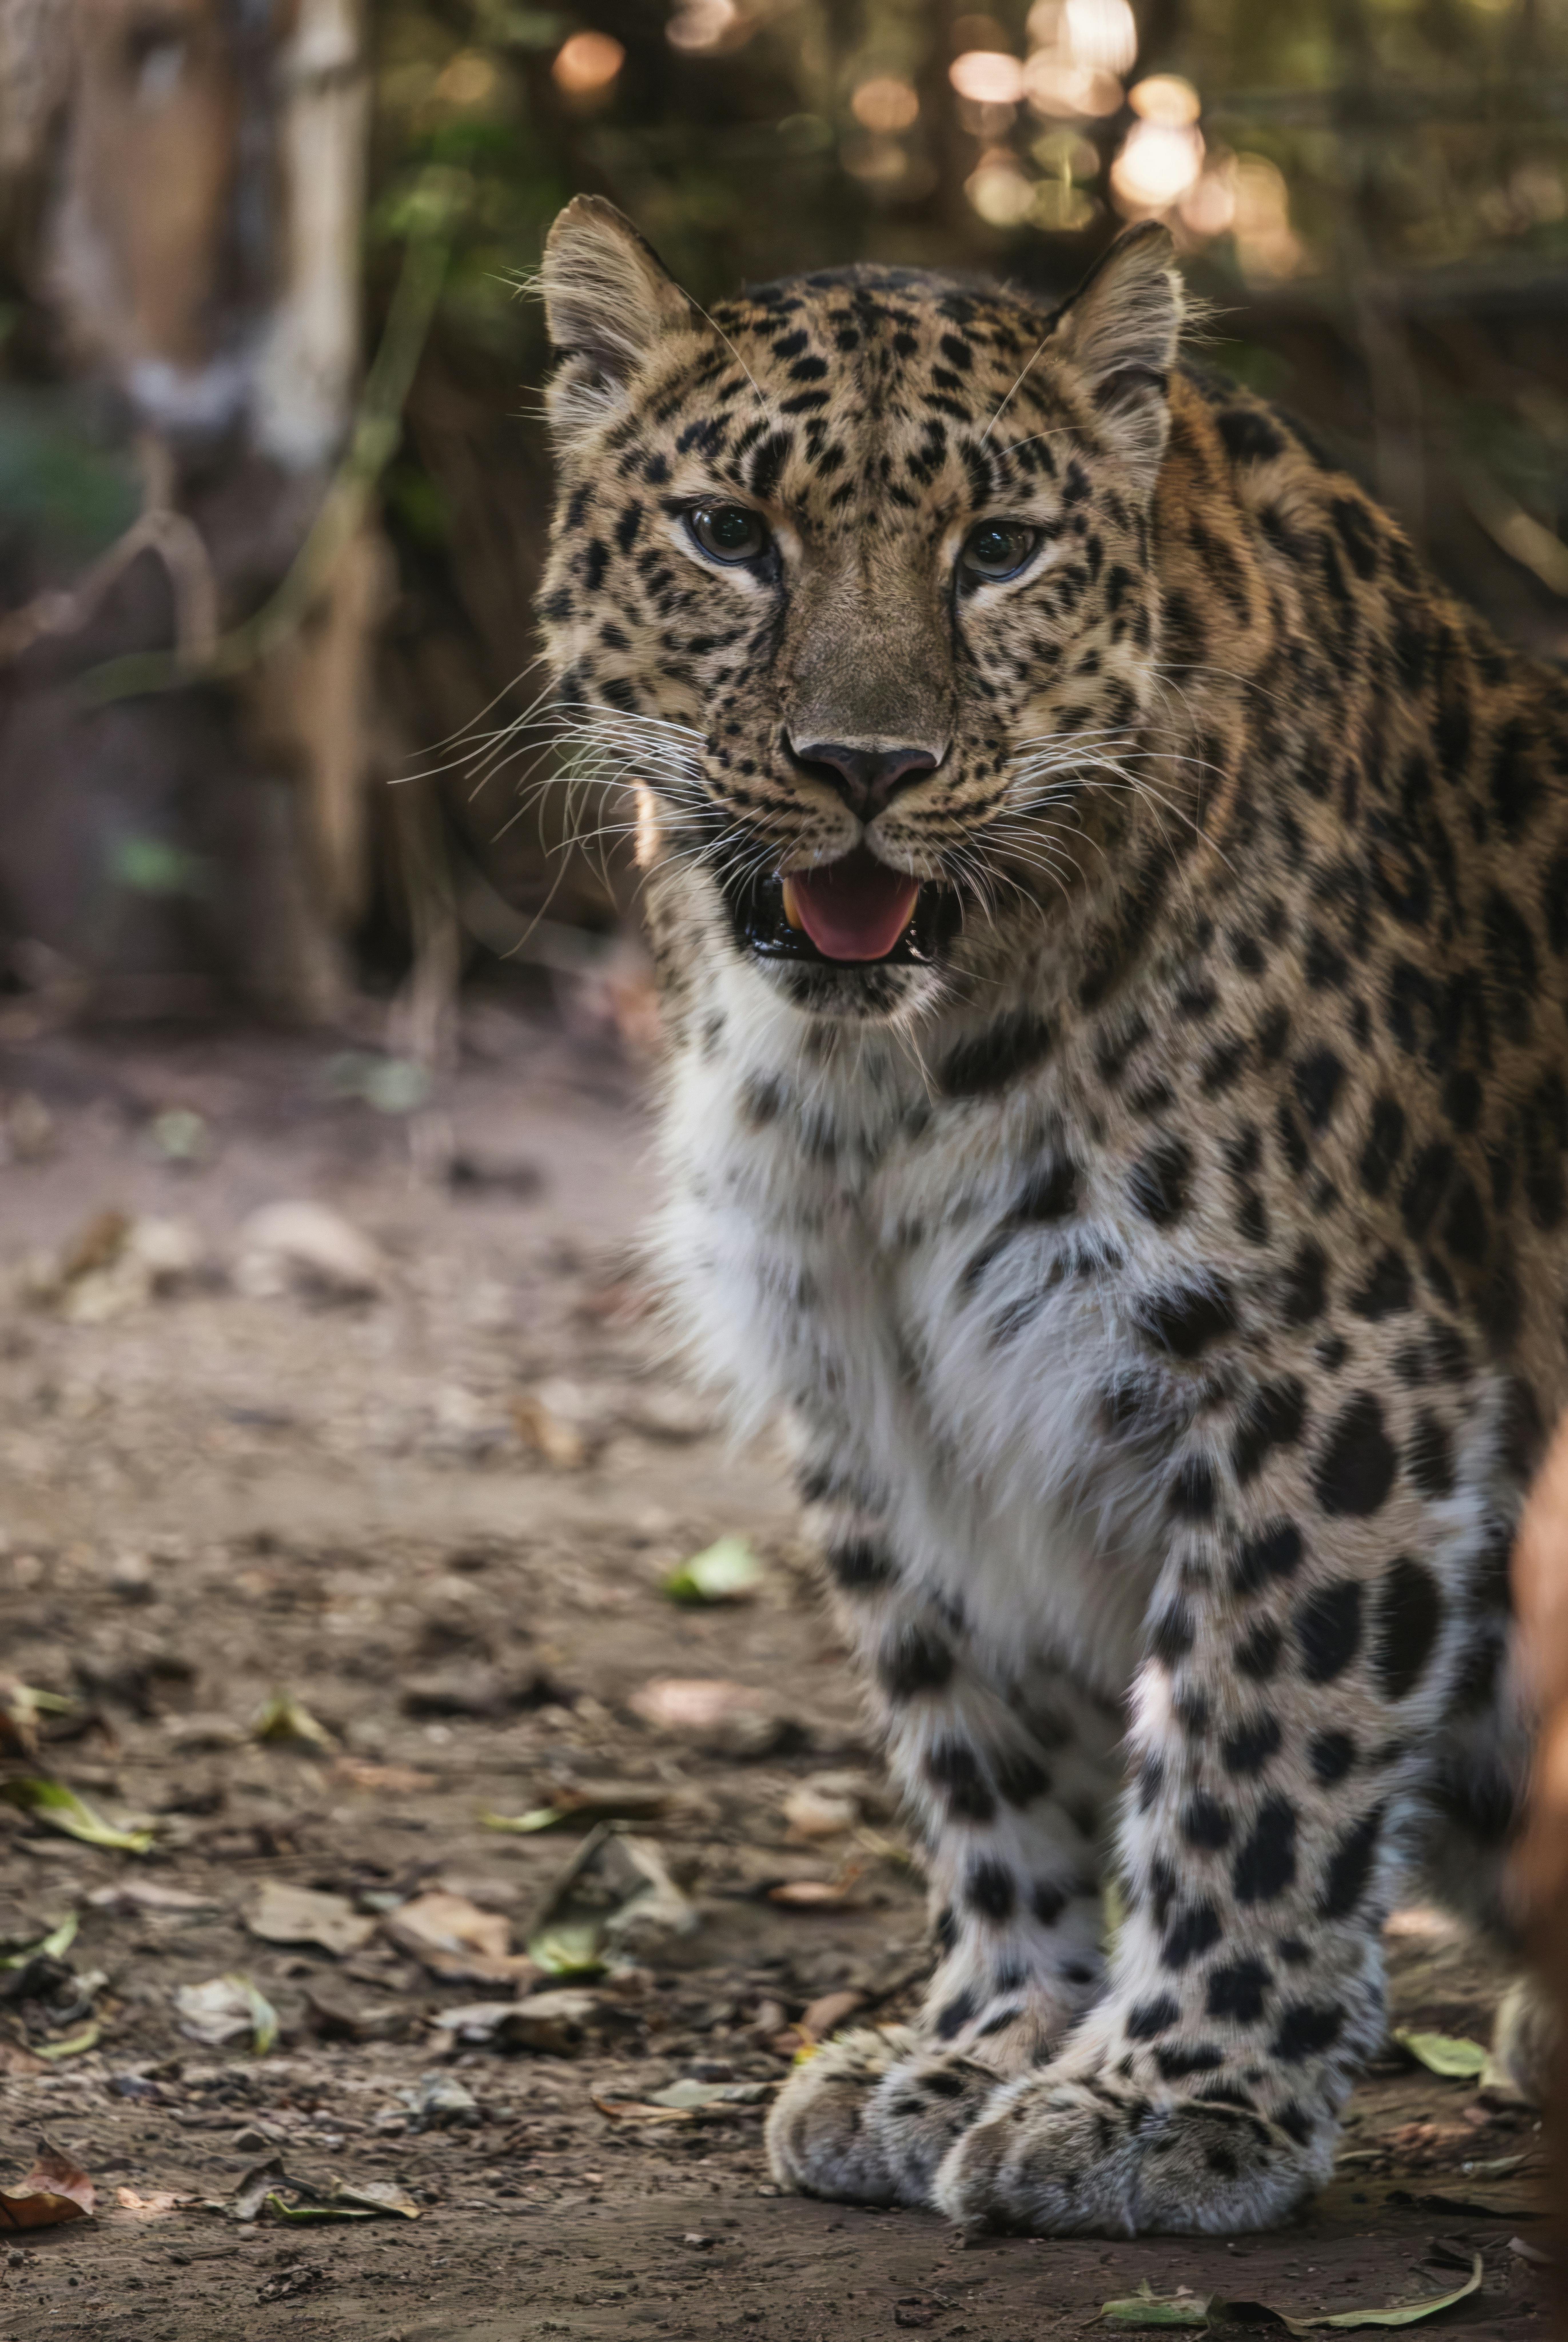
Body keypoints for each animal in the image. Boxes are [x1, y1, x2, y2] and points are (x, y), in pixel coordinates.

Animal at [533, 194, 1563, 2237]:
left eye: (997, 550)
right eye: (728, 534)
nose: (863, 770)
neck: (876, 1078)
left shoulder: (1330, 1362)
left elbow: (1255, 1743)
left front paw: (1179, 2102)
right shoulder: (875, 1378)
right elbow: (977, 1742)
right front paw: (978, 2044)